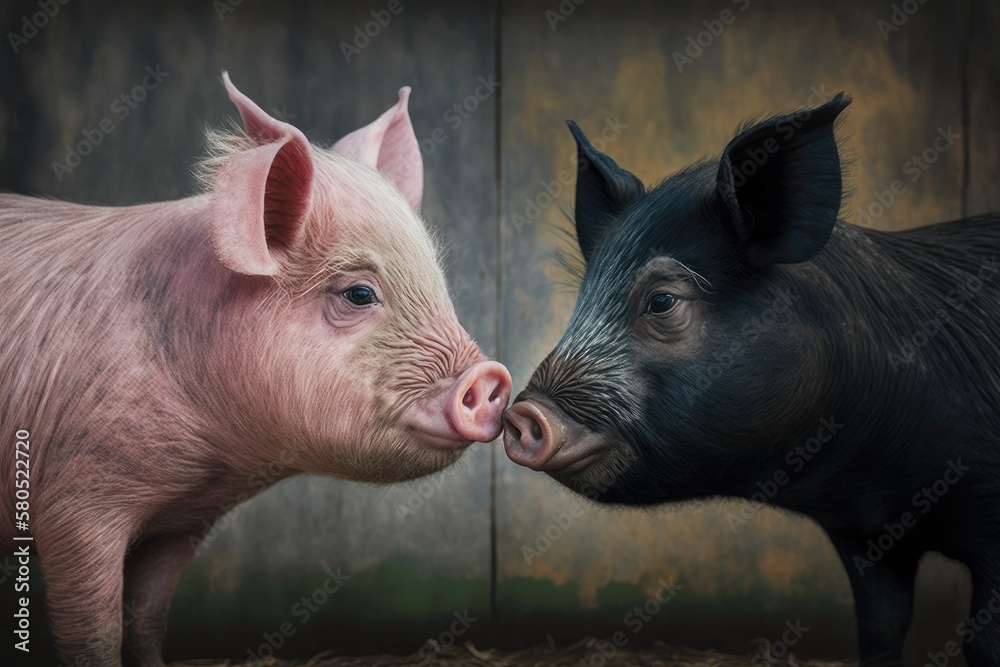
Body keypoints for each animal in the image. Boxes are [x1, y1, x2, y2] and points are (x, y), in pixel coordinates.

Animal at [0, 72, 512, 667]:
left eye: (440, 285)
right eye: (359, 293)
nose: (493, 377)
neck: (213, 460)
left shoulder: (182, 520)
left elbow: (147, 616)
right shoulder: (73, 502)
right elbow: (95, 633)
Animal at [503, 93, 1000, 666]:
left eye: (662, 301)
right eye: (583, 298)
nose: (521, 413)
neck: (876, 477)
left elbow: (980, 641)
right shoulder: (866, 537)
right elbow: (880, 628)